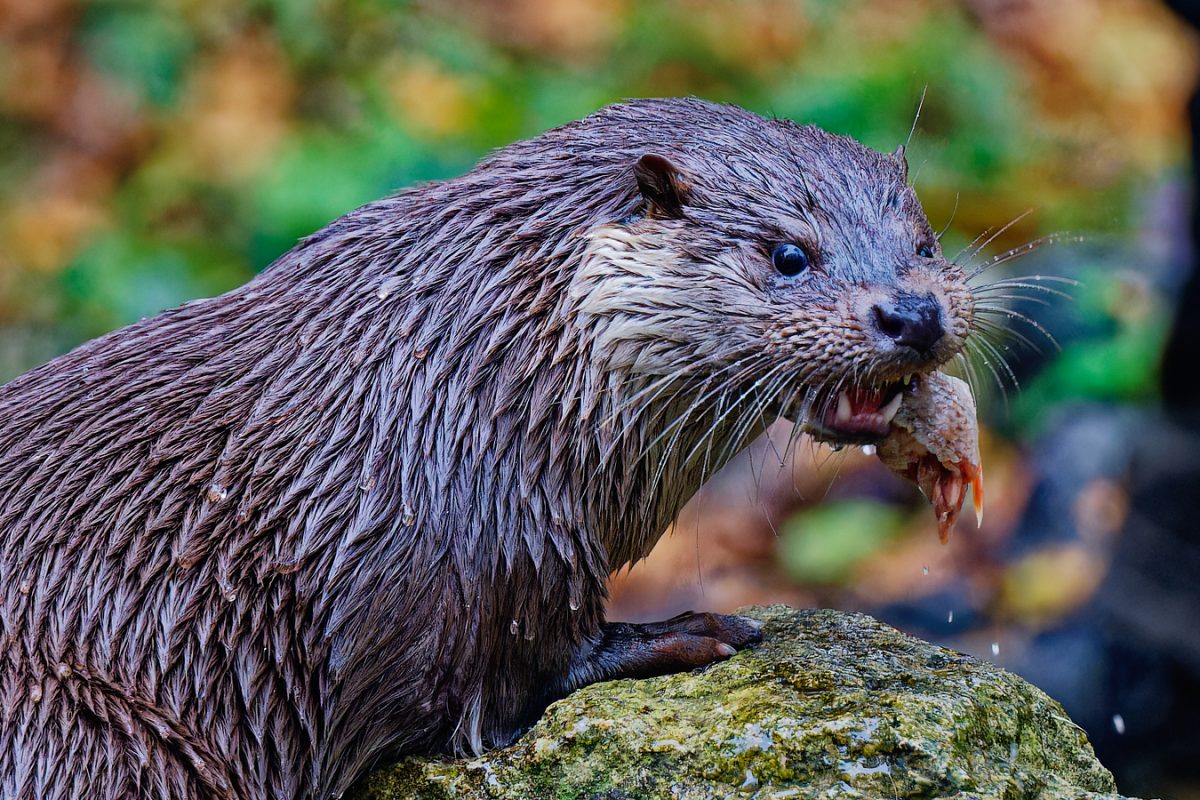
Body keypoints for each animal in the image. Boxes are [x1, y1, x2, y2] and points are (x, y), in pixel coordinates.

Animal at [0, 98, 975, 799]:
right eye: (787, 255)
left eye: (925, 242)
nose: (913, 312)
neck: (473, 378)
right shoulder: (478, 550)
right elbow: (509, 677)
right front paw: (686, 631)